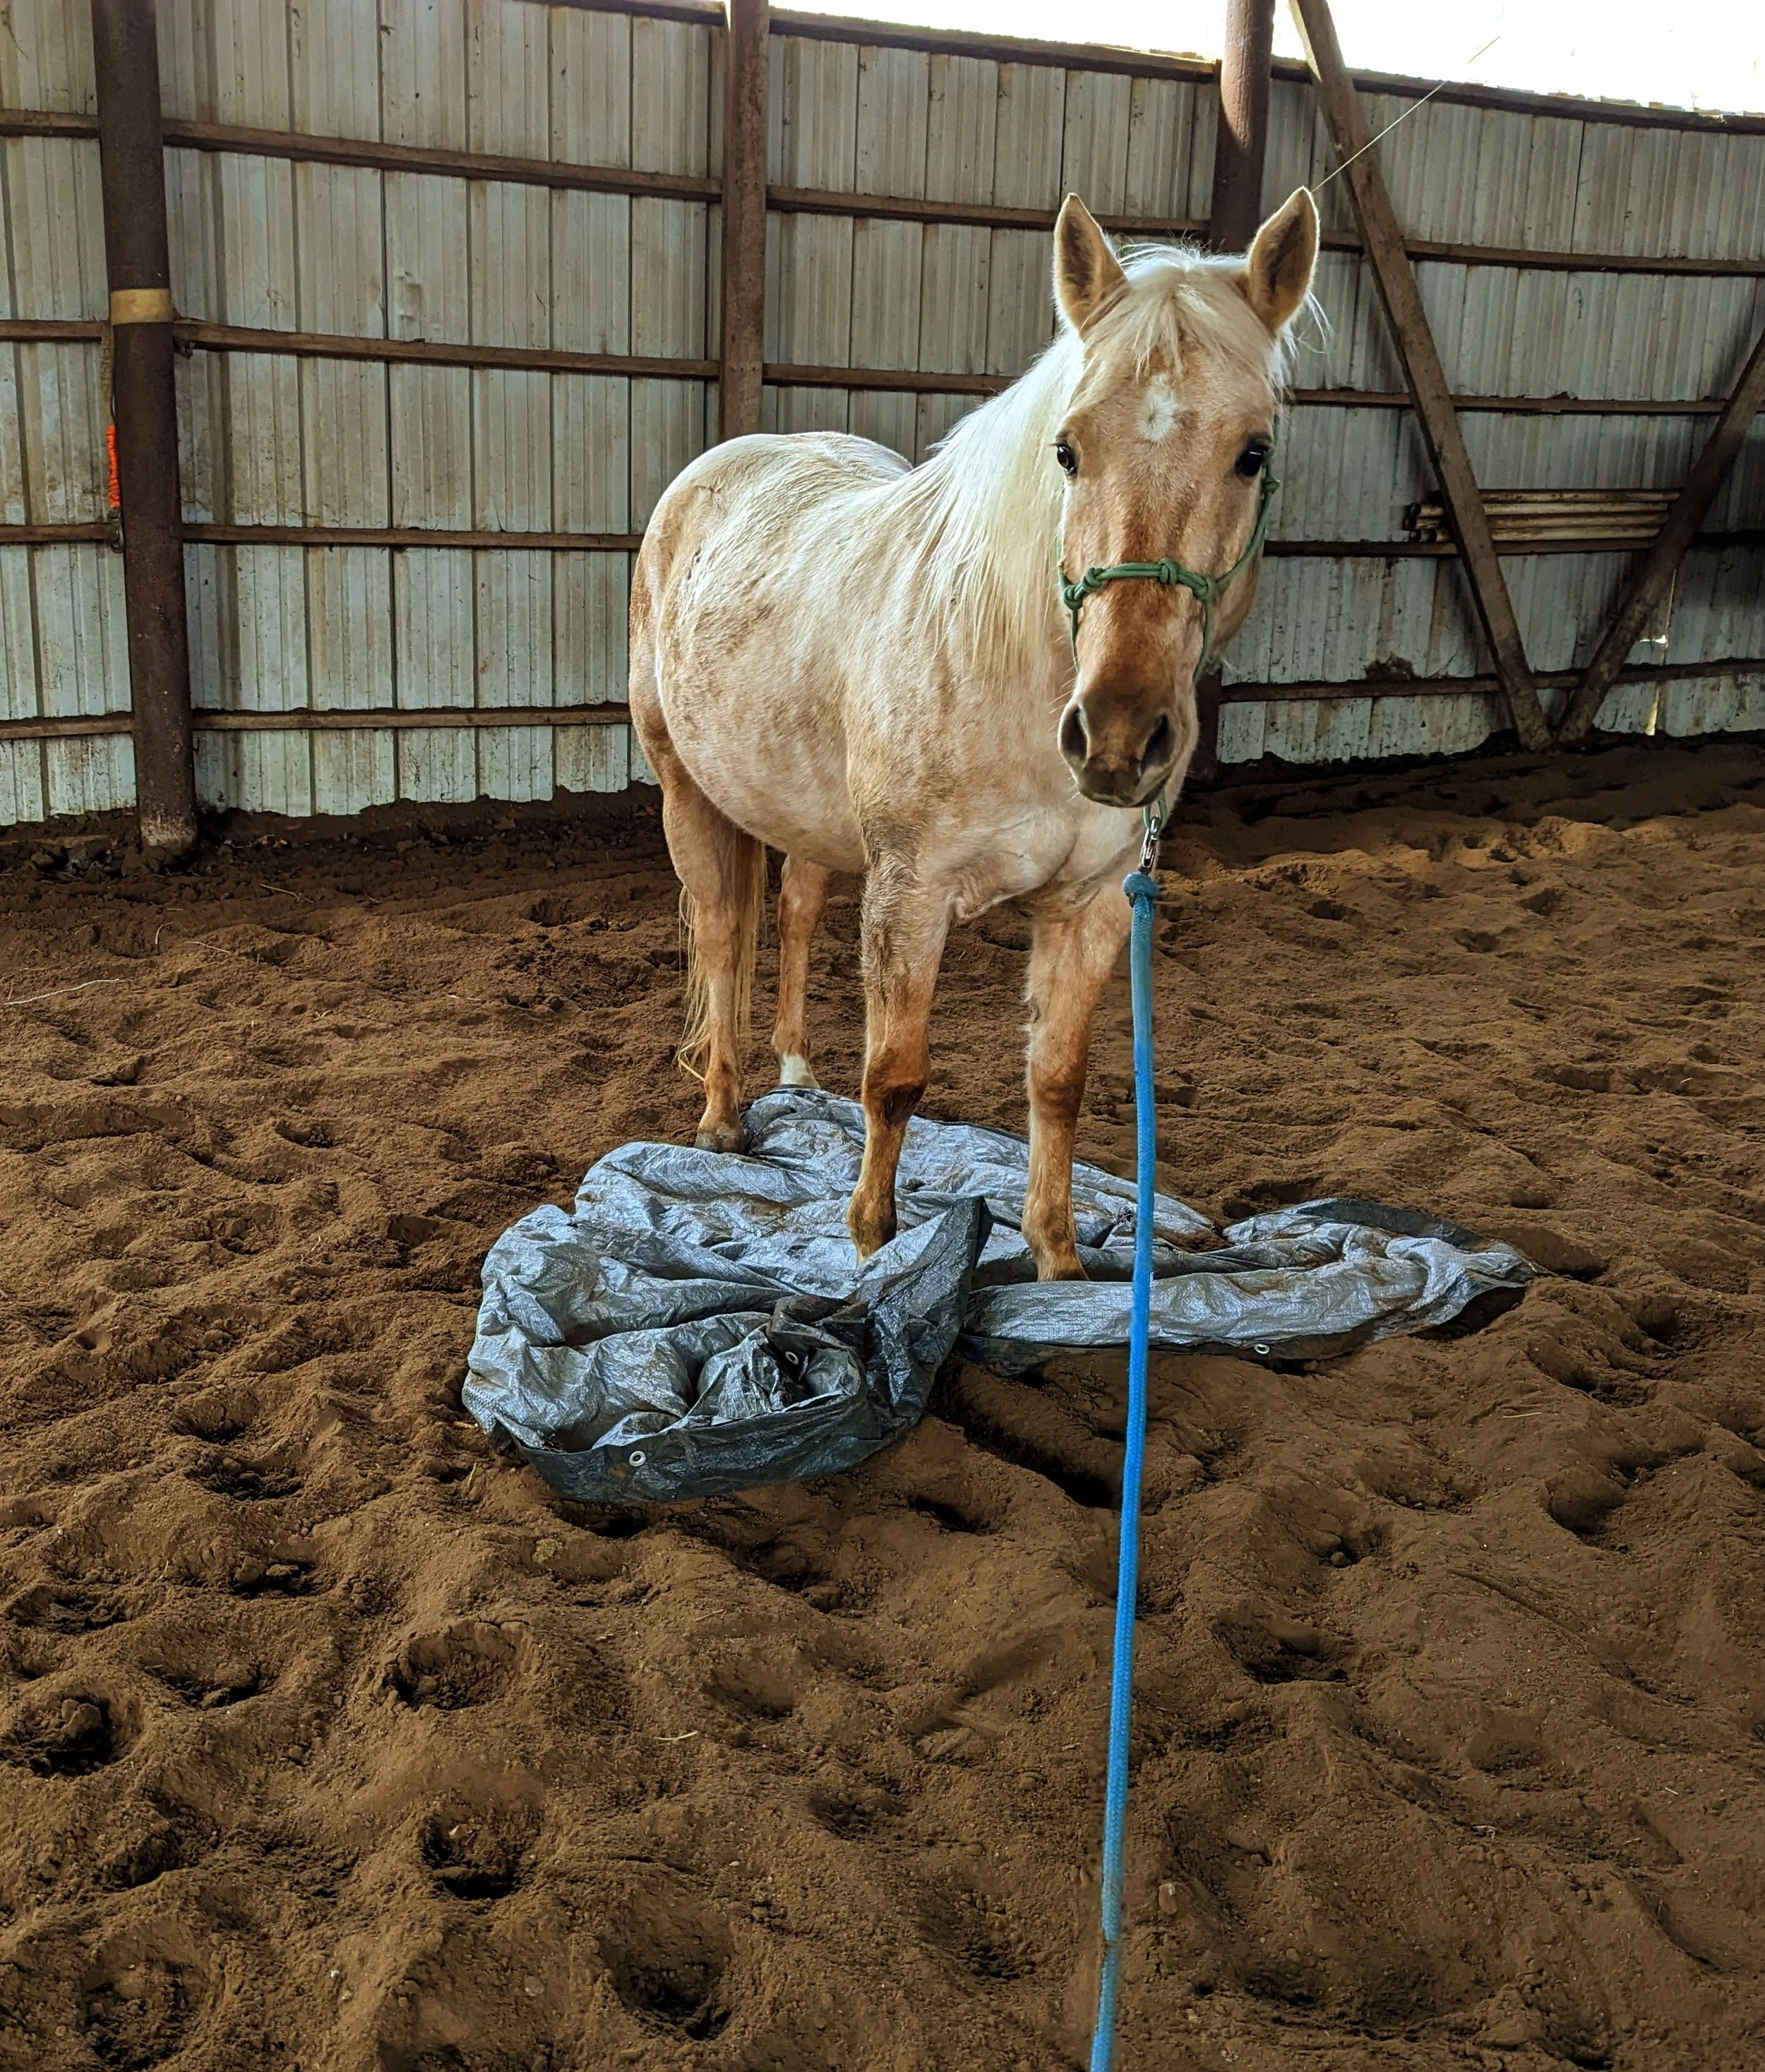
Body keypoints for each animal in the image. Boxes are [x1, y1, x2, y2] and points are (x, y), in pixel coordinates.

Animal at [628, 189, 1320, 1281]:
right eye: (1067, 448)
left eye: (1252, 451)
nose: (1117, 736)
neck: (1017, 681)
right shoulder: (910, 896)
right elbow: (895, 1077)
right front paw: (871, 1246)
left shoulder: (1093, 908)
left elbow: (1057, 1080)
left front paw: (1058, 1262)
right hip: (687, 790)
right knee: (722, 931)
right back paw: (722, 1117)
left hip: (807, 813)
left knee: (791, 912)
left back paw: (795, 1073)